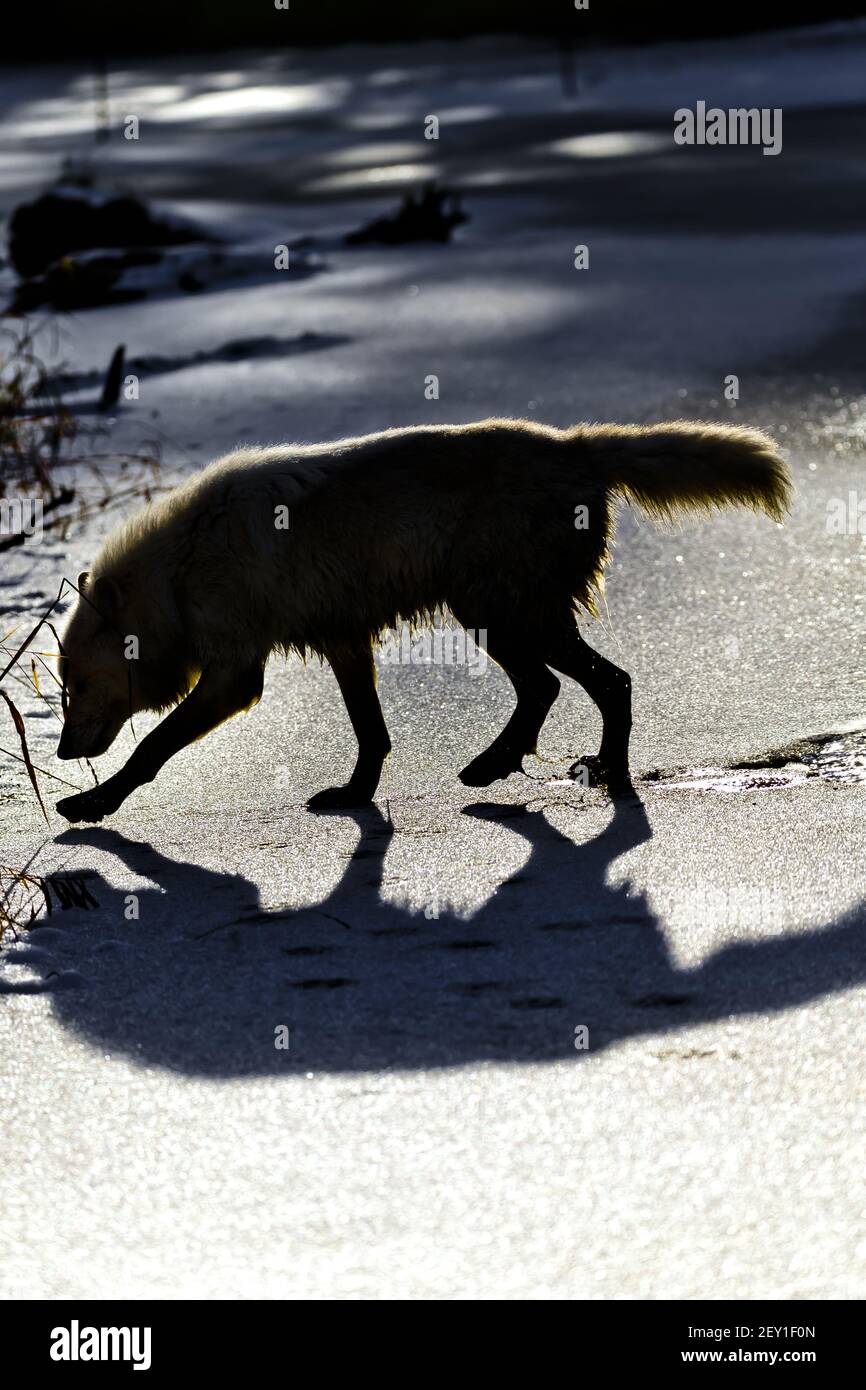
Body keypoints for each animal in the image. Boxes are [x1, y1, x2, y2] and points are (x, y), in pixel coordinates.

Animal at [55, 418, 791, 822]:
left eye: (75, 687)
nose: (61, 751)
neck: (179, 572)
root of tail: (576, 445)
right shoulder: (342, 640)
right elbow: (371, 734)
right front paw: (355, 795)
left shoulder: (235, 677)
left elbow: (150, 748)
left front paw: (94, 805)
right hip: (509, 618)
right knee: (581, 684)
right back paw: (535, 766)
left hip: (497, 615)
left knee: (586, 683)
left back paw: (538, 767)